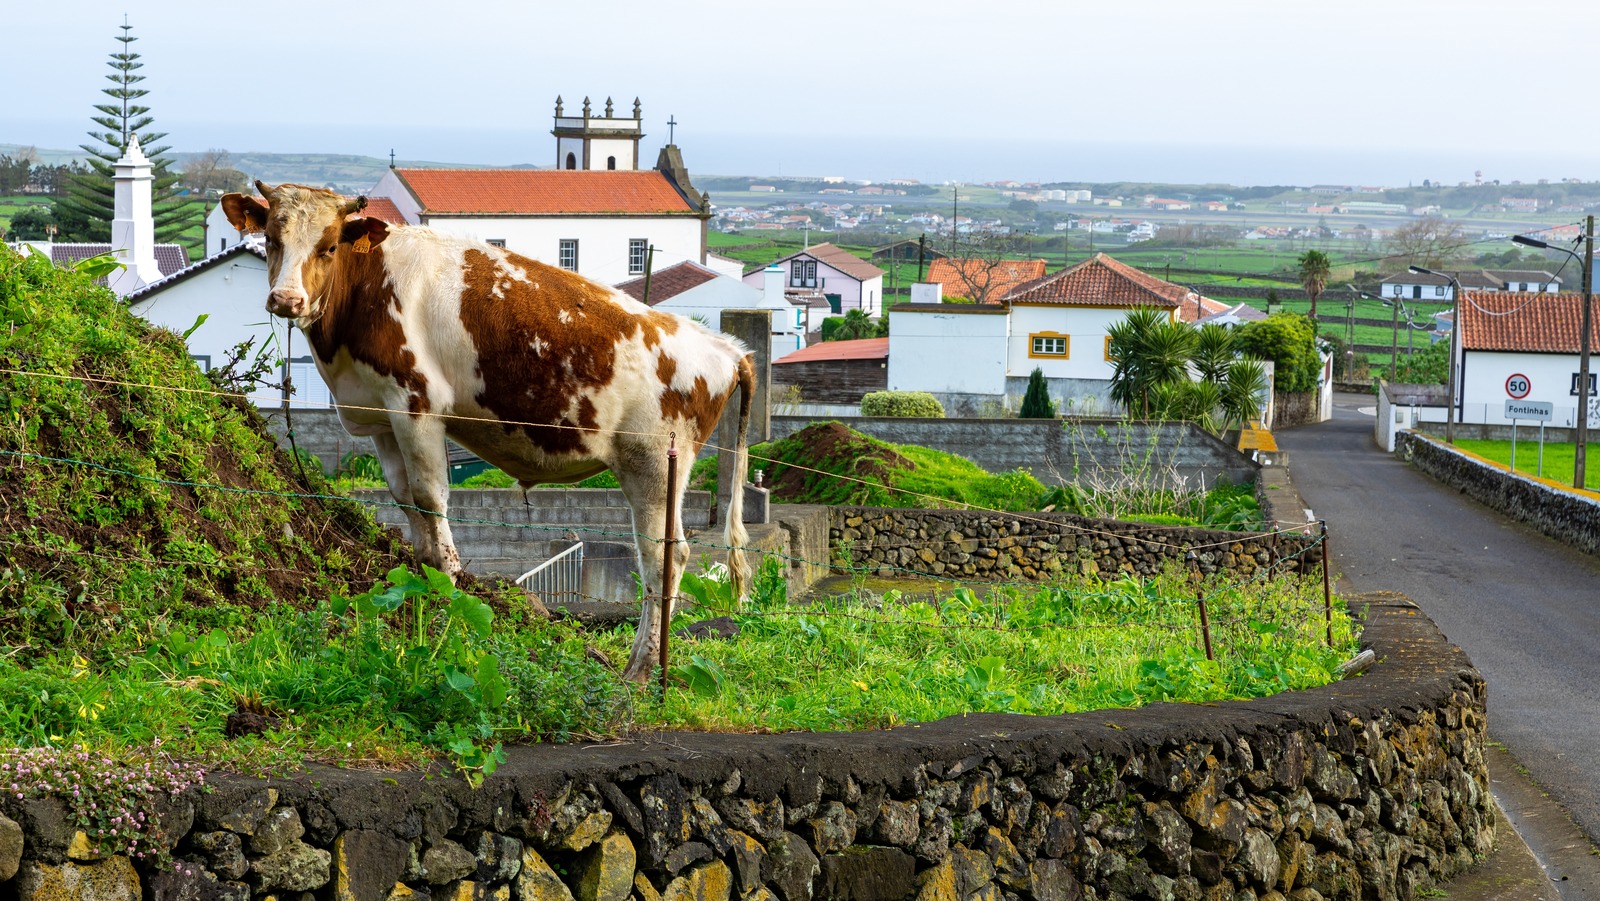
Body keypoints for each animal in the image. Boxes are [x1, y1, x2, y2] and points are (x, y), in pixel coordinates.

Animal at [220, 181, 753, 683]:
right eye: (271, 239)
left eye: (329, 246)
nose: (286, 299)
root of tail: (727, 350)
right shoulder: (381, 416)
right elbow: (407, 500)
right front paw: (420, 579)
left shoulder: (417, 404)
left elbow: (432, 497)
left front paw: (448, 587)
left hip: (654, 465)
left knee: (665, 557)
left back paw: (639, 673)